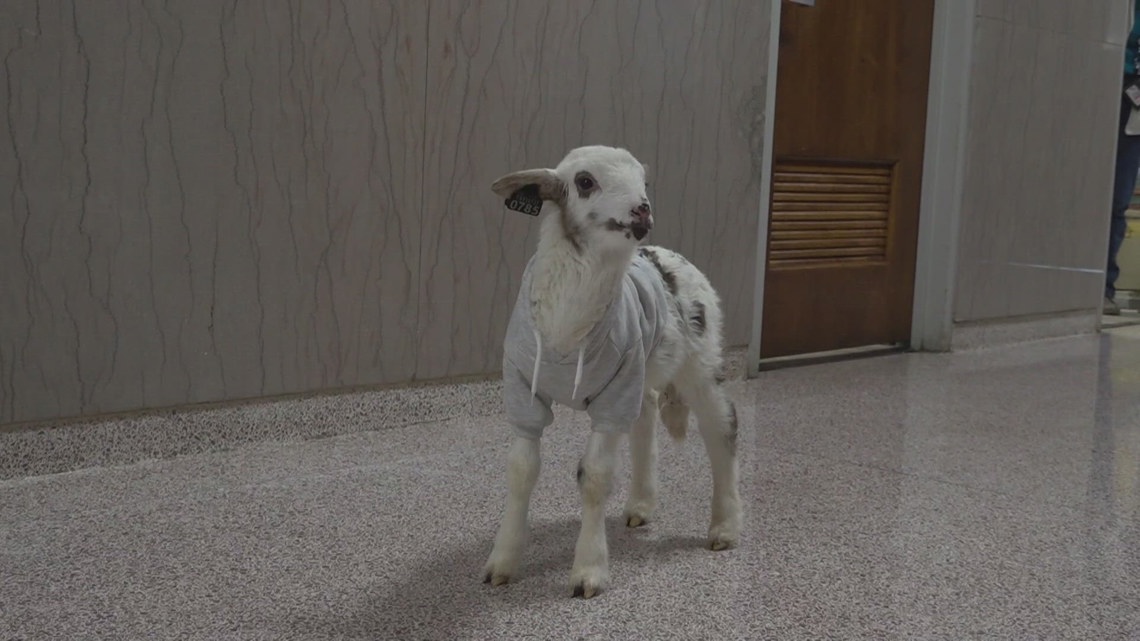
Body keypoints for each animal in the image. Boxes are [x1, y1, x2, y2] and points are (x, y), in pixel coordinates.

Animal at [482, 145, 742, 599]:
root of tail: (671, 255)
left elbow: (595, 476)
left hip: (701, 354)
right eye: (585, 182)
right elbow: (520, 470)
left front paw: (588, 571)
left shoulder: (612, 396)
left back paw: (724, 527)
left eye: (645, 180)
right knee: (645, 419)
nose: (642, 209)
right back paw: (640, 506)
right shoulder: (522, 387)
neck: (566, 332)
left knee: (721, 426)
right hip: (644, 368)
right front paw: (503, 561)